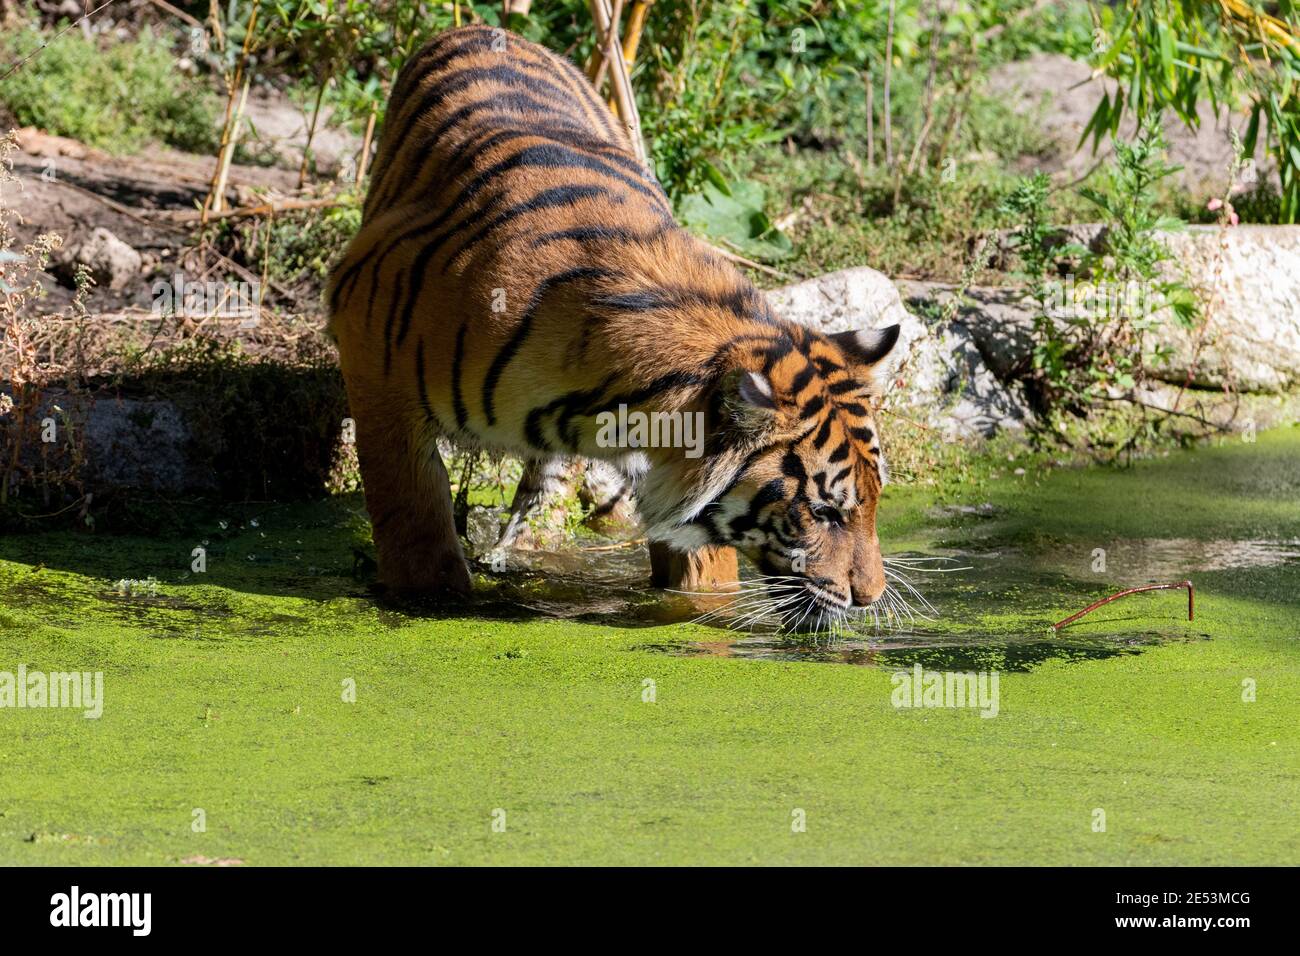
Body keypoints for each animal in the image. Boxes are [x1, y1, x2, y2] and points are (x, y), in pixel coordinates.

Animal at [326, 24, 901, 624]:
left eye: (875, 499)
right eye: (824, 511)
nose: (870, 597)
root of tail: (484, 28)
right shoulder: (373, 368)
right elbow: (413, 521)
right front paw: (428, 593)